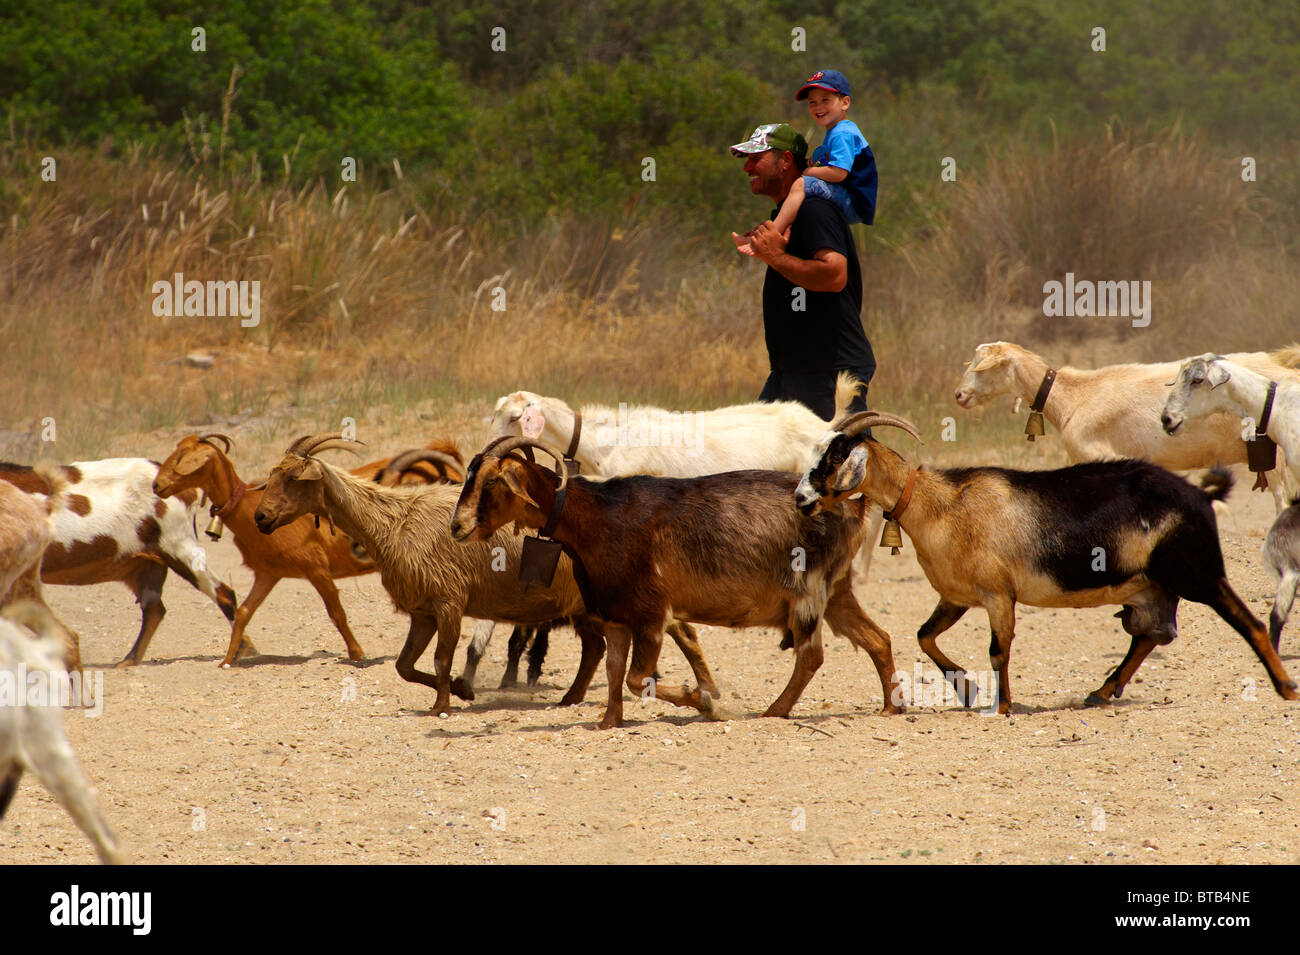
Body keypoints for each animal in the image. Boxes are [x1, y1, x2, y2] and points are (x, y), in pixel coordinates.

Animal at [151, 434, 463, 667]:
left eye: (181, 458)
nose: (157, 485)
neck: (245, 509)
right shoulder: (268, 574)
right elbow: (244, 611)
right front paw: (228, 659)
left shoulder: (316, 569)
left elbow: (336, 613)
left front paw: (357, 654)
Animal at [252, 434, 719, 715]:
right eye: (271, 476)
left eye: (292, 477)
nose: (259, 517)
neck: (395, 522)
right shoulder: (423, 611)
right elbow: (405, 666)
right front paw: (463, 690)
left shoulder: (449, 602)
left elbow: (440, 659)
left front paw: (444, 704)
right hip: (583, 607)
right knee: (596, 649)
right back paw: (572, 698)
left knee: (678, 630)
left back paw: (707, 692)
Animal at [450, 435, 902, 730]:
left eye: (491, 482)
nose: (457, 526)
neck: (598, 519)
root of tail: (851, 507)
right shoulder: (616, 616)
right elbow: (615, 670)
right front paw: (609, 721)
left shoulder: (651, 613)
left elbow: (637, 679)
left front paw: (706, 702)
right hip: (836, 592)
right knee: (878, 638)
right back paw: (891, 706)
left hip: (807, 591)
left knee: (811, 656)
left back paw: (773, 712)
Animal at [794, 411, 1298, 714]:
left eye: (833, 457)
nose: (800, 499)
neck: (942, 504)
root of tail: (1199, 496)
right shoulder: (957, 597)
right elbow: (924, 636)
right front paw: (968, 691)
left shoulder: (998, 594)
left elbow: (998, 650)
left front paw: (1001, 707)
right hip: (1150, 588)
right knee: (1151, 635)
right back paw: (1100, 692)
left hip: (1196, 573)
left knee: (1249, 621)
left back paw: (1285, 687)